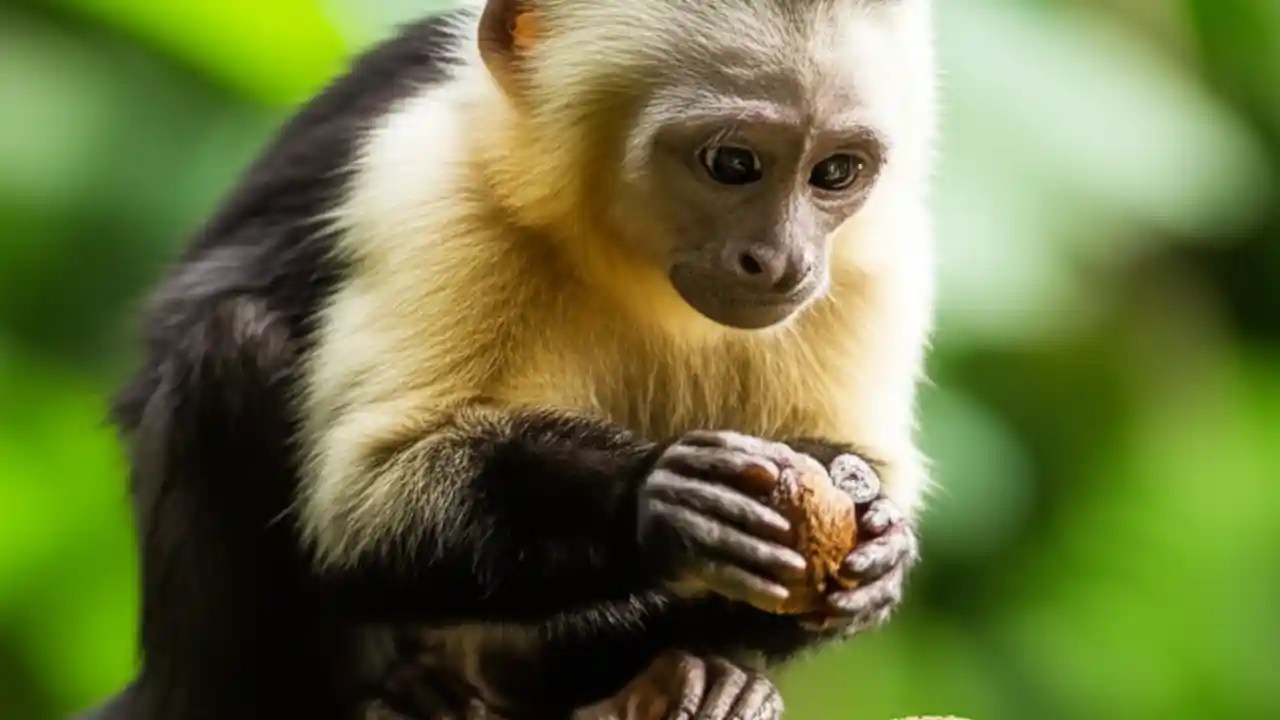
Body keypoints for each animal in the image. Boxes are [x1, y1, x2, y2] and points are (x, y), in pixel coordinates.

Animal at [95, 0, 937, 718]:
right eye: (732, 164)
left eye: (834, 173)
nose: (783, 261)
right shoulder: (432, 182)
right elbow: (368, 504)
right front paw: (656, 503)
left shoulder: (877, 257)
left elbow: (860, 469)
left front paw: (876, 538)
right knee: (226, 336)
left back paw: (693, 679)